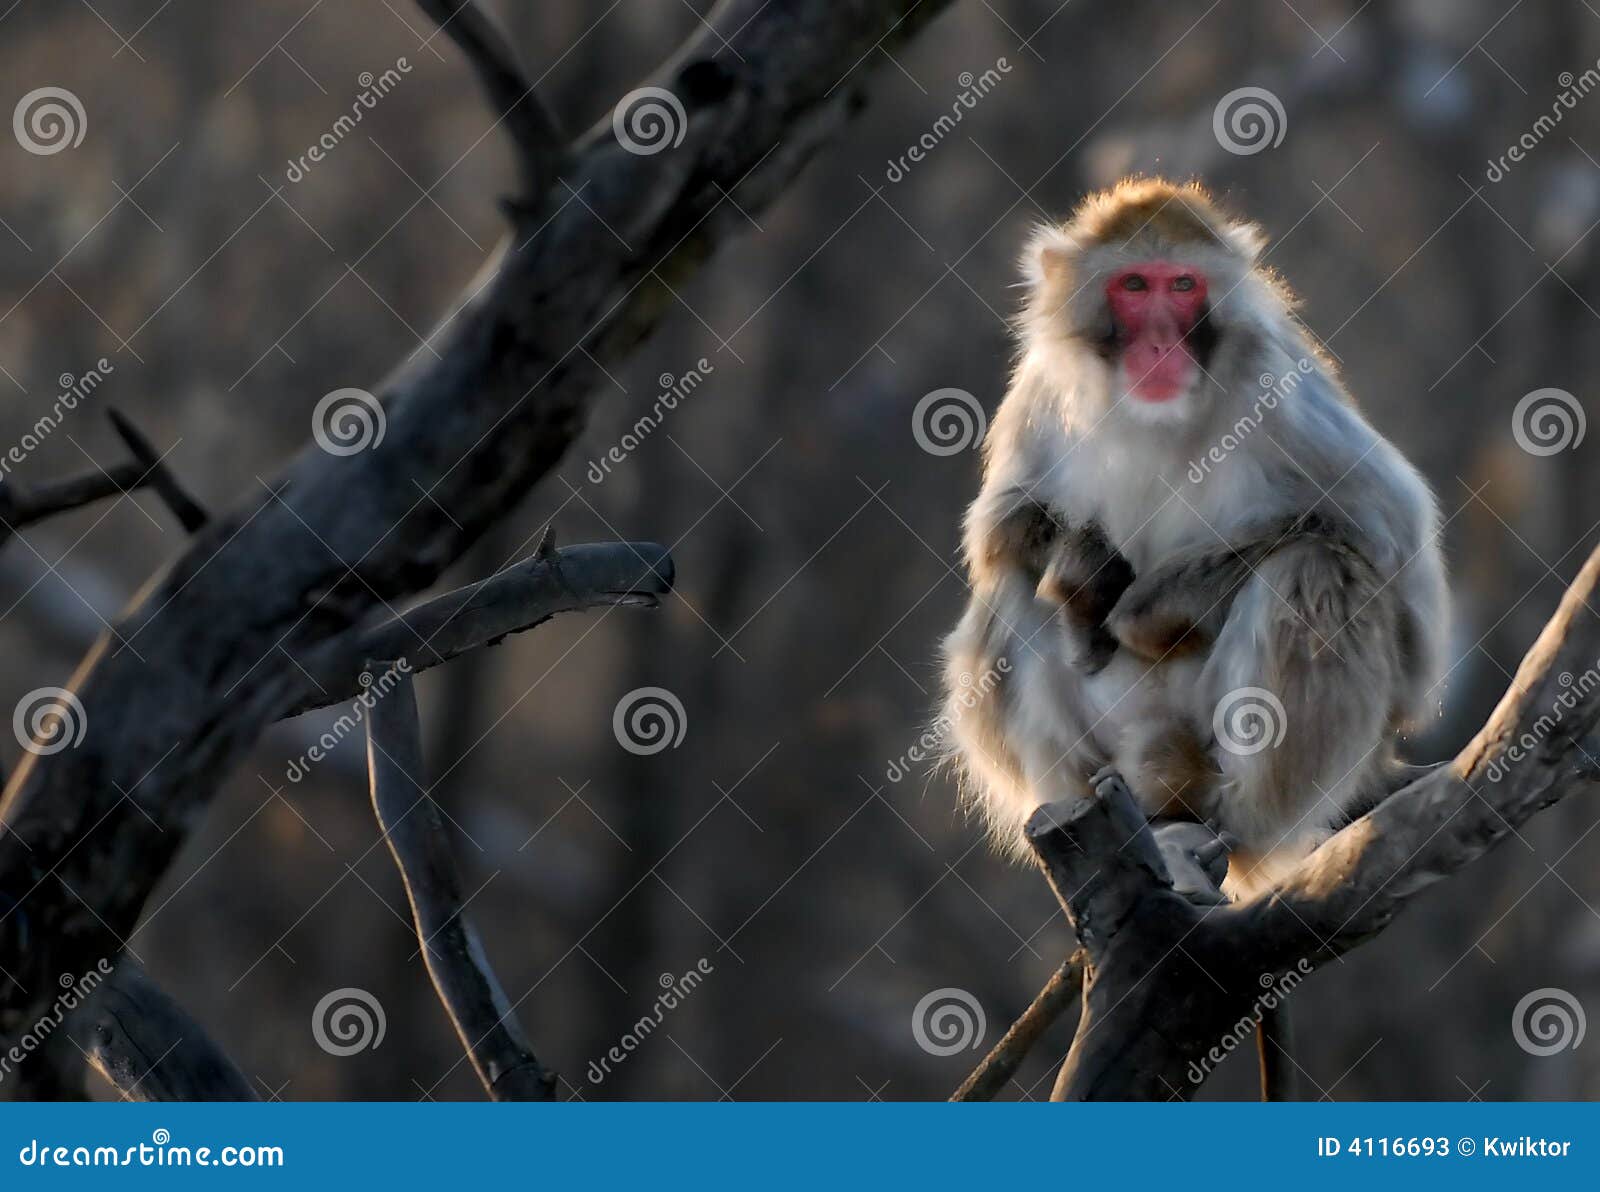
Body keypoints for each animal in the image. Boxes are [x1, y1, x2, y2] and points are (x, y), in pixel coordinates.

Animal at [941, 178, 1450, 899]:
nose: (1159, 343)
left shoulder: (1275, 380)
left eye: (1182, 286)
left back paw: (1229, 824)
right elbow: (1002, 525)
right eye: (1134, 286)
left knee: (1318, 568)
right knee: (1010, 587)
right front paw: (1084, 570)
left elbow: (1390, 556)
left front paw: (1146, 608)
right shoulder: (1041, 385)